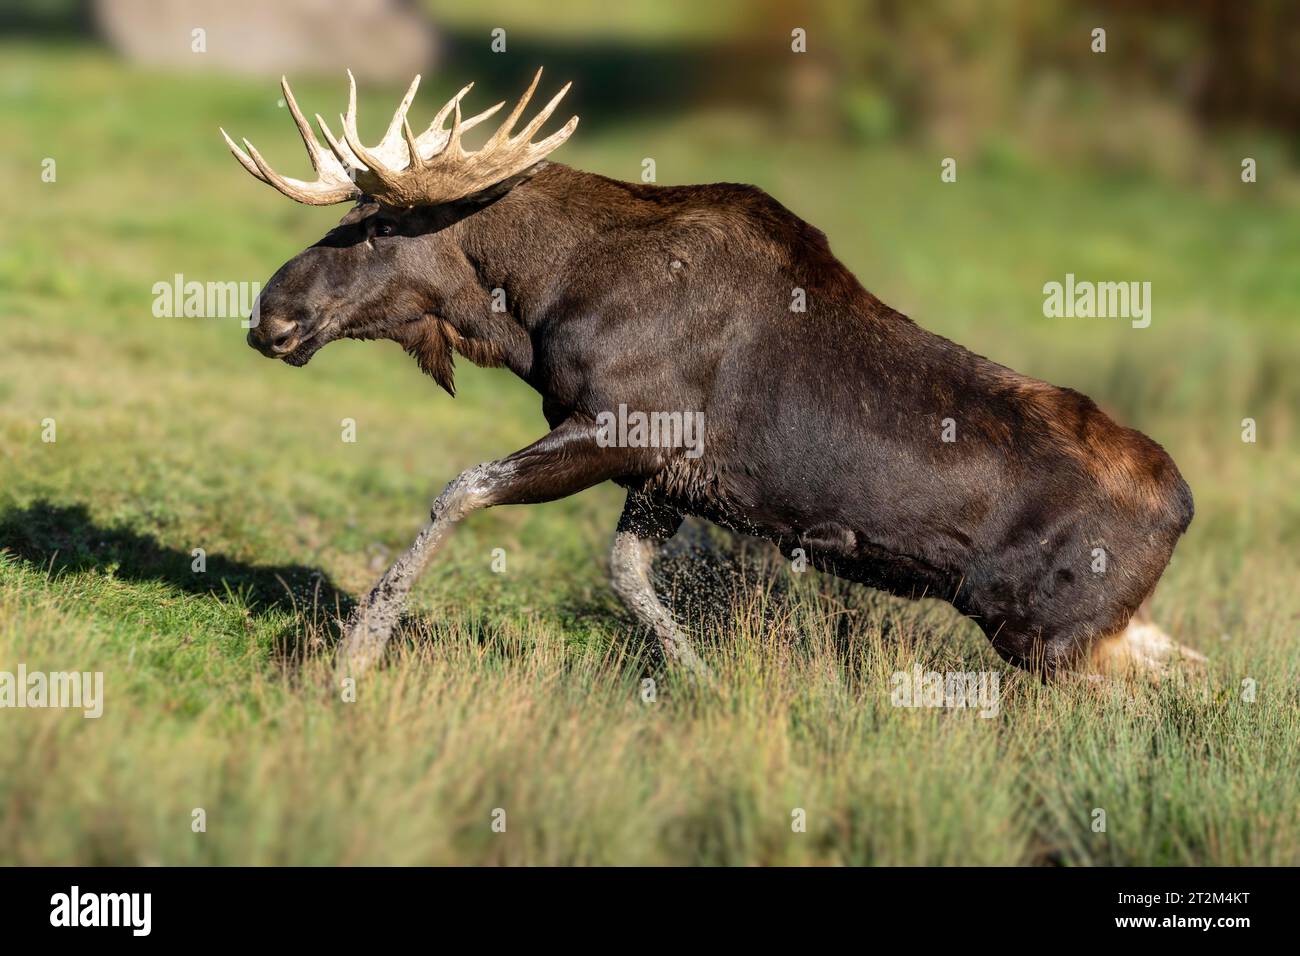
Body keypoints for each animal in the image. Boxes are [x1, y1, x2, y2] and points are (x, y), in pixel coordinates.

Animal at [221, 70, 1206, 681]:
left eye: (383, 224)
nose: (271, 313)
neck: (537, 304)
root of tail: (1186, 506)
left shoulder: (620, 428)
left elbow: (461, 490)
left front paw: (351, 657)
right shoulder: (665, 475)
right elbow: (627, 573)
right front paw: (700, 680)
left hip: (1049, 635)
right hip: (1083, 635)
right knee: (1191, 668)